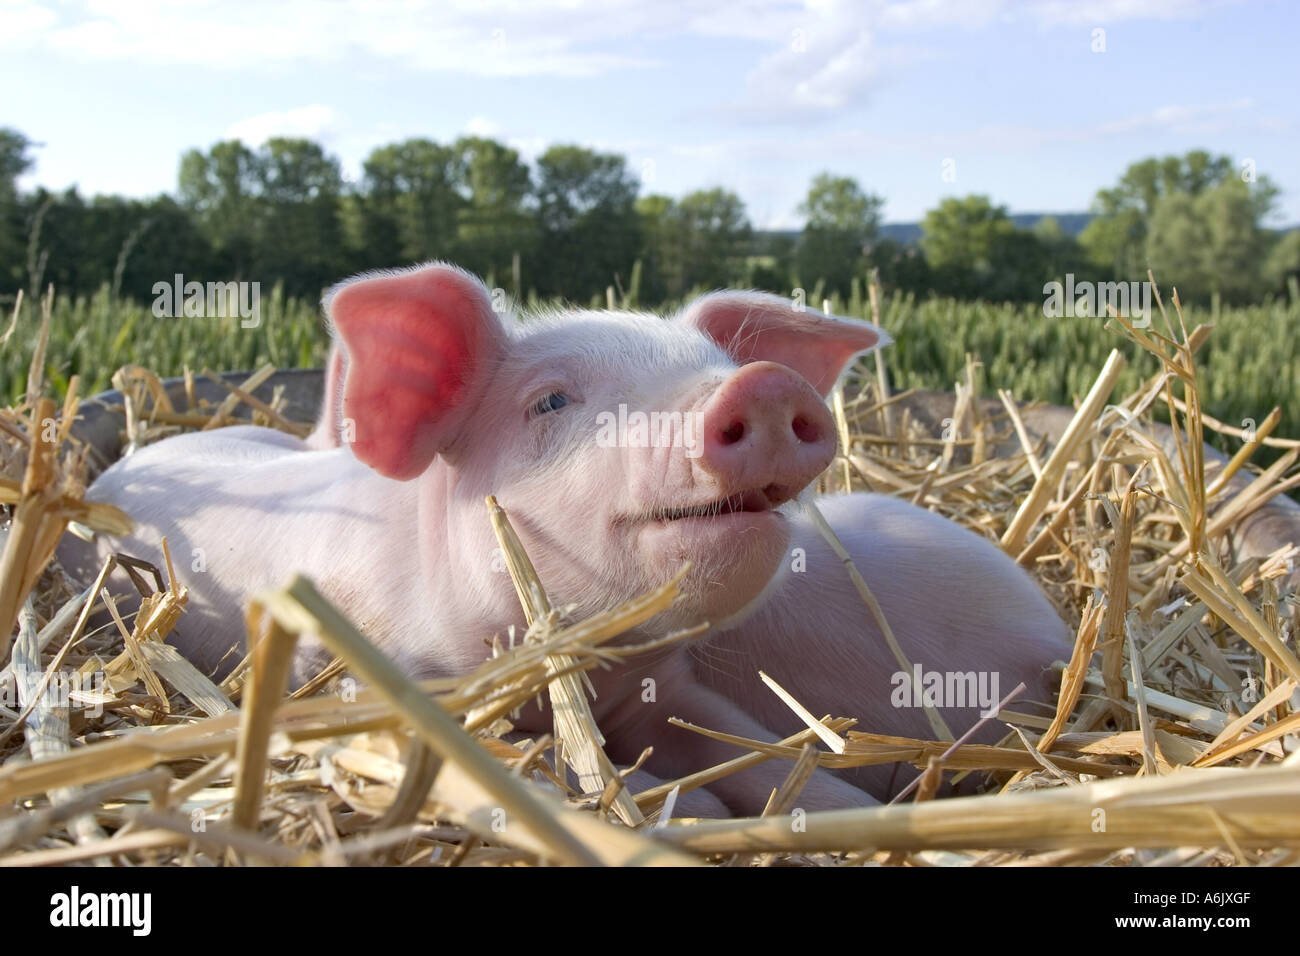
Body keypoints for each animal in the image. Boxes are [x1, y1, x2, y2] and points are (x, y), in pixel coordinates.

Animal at [60, 262, 1070, 817]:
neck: (572, 677)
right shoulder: (383, 683)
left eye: (717, 364)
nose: (762, 384)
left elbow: (771, 759)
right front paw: (688, 807)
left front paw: (842, 808)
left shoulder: (669, 692)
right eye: (549, 402)